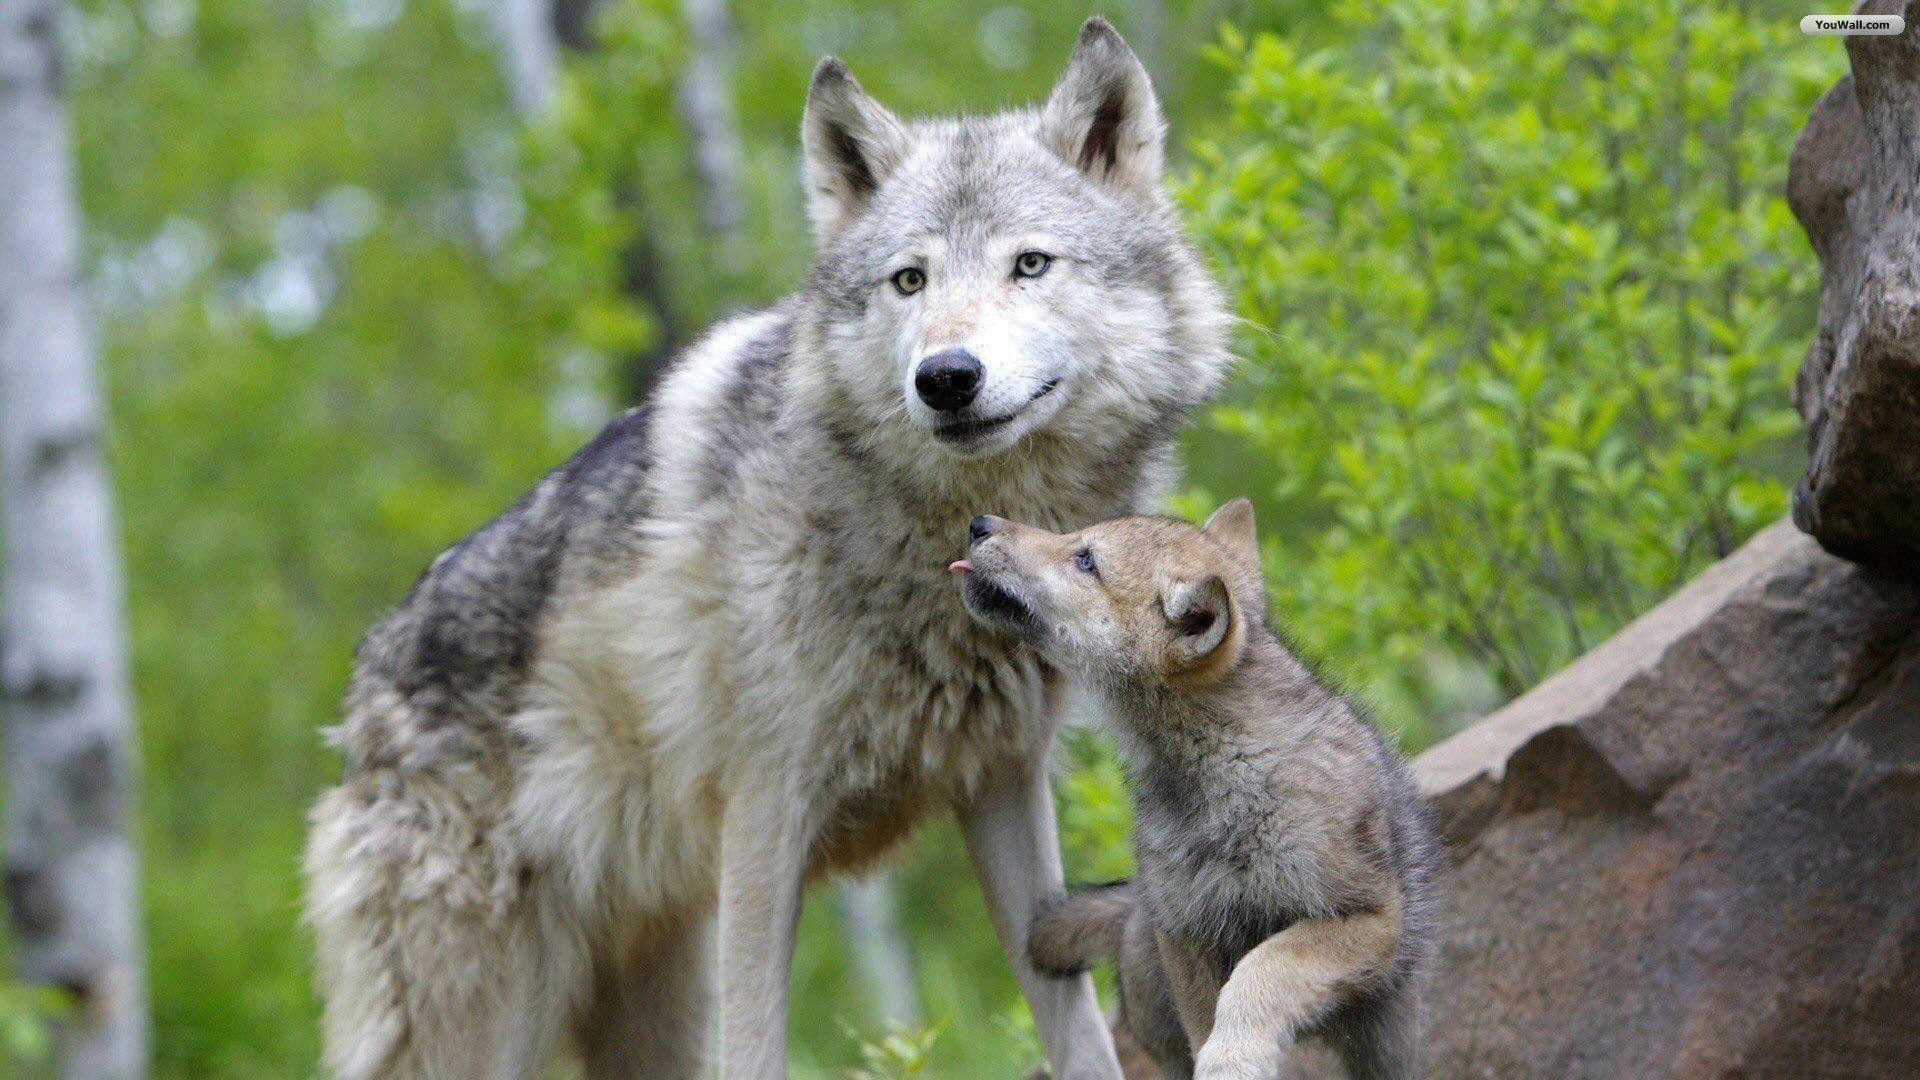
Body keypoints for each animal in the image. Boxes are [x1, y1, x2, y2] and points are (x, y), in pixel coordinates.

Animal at [302, 18, 1229, 1080]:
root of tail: (363, 687)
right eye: (909, 280)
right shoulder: (762, 818)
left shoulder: (1001, 783)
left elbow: (1072, 1027)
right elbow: (757, 1045)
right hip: (488, 1017)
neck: (931, 543)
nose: (945, 377)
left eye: (1029, 265)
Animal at [954, 502, 1437, 1079]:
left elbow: (1262, 969)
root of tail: (1134, 904)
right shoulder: (1186, 935)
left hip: (1388, 1042)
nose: (978, 523)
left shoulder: (1366, 918)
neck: (1224, 769)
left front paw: (1235, 1056)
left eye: (1086, 559)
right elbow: (1209, 1017)